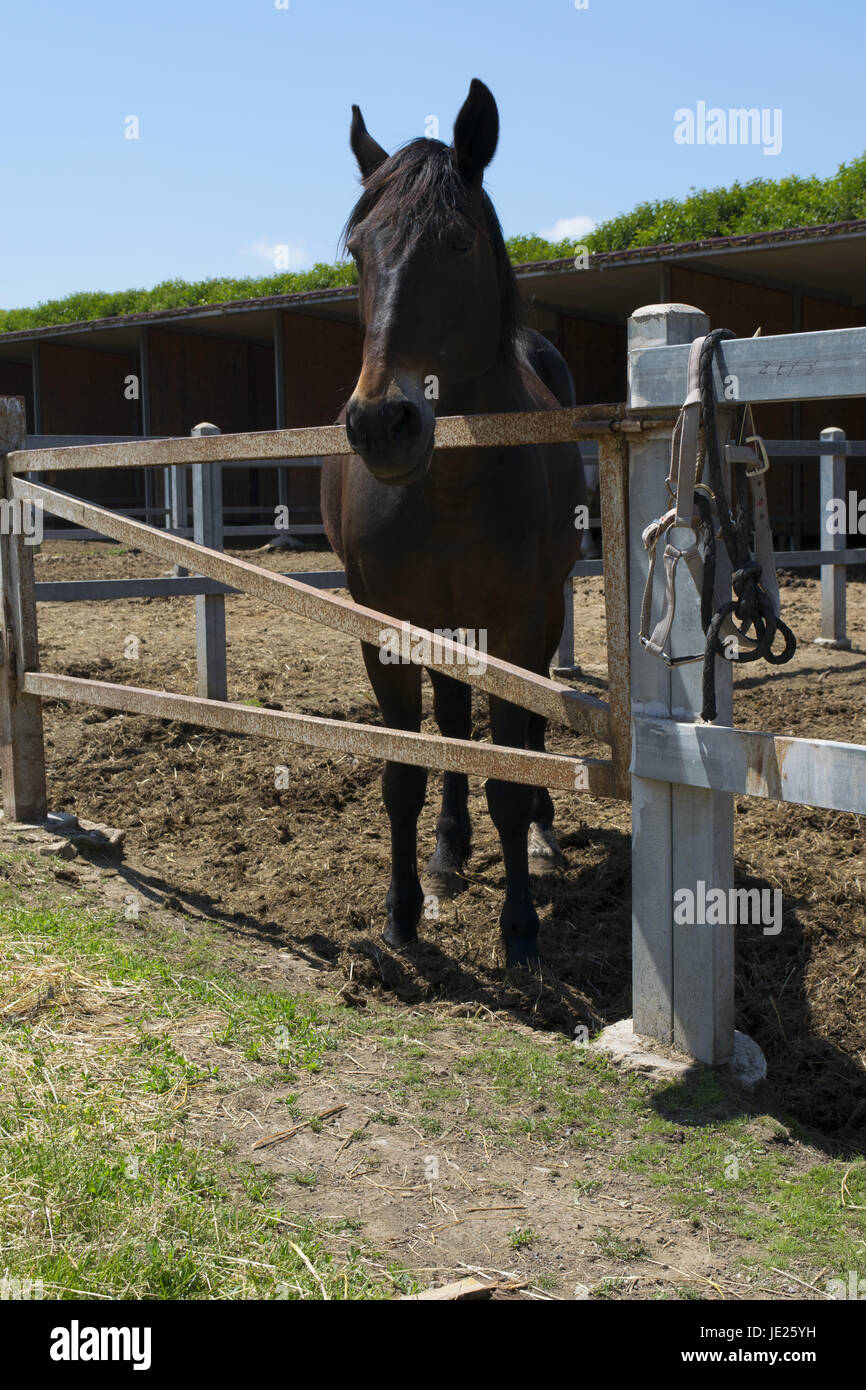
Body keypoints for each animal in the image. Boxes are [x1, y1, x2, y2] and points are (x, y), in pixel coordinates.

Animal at [320, 78, 585, 966]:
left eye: (460, 242)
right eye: (356, 250)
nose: (382, 424)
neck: (447, 487)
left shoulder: (517, 622)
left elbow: (509, 771)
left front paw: (522, 930)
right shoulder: (387, 625)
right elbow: (406, 770)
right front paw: (402, 915)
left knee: (526, 733)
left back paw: (538, 835)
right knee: (453, 722)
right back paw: (449, 848)